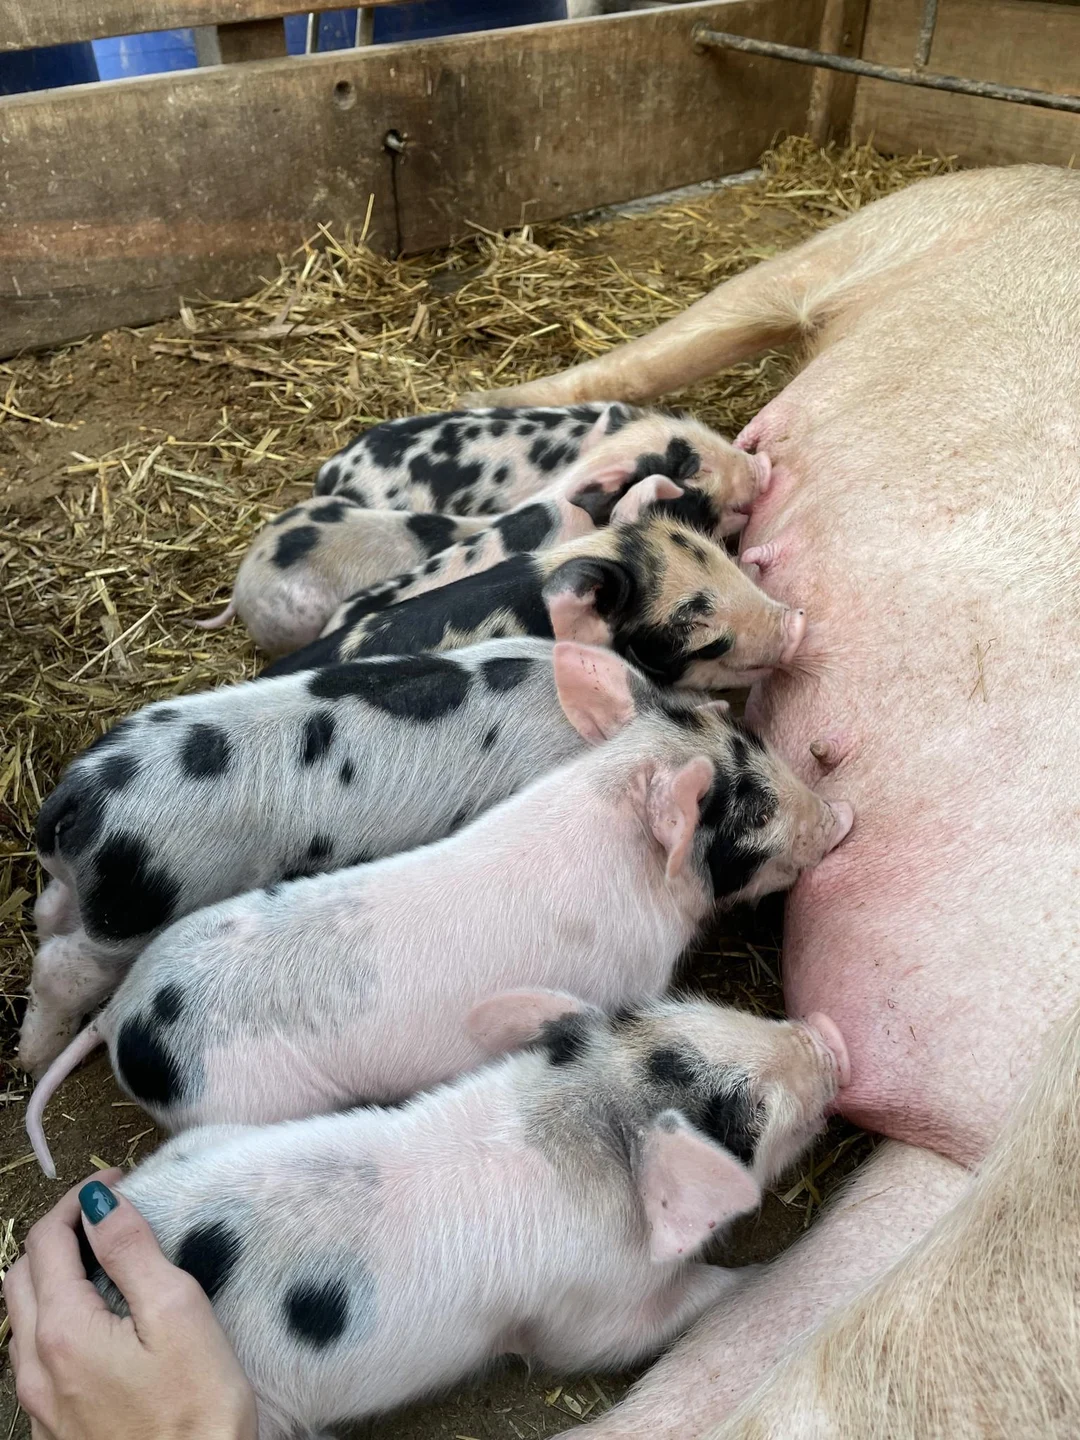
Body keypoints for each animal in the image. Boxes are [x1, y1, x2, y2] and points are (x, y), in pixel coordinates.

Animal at [81, 989, 848, 1440]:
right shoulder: (587, 1309)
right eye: (746, 1118)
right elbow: (629, 1330)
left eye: (700, 1008)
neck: (586, 1120)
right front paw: (762, 1272)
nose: (827, 1032)